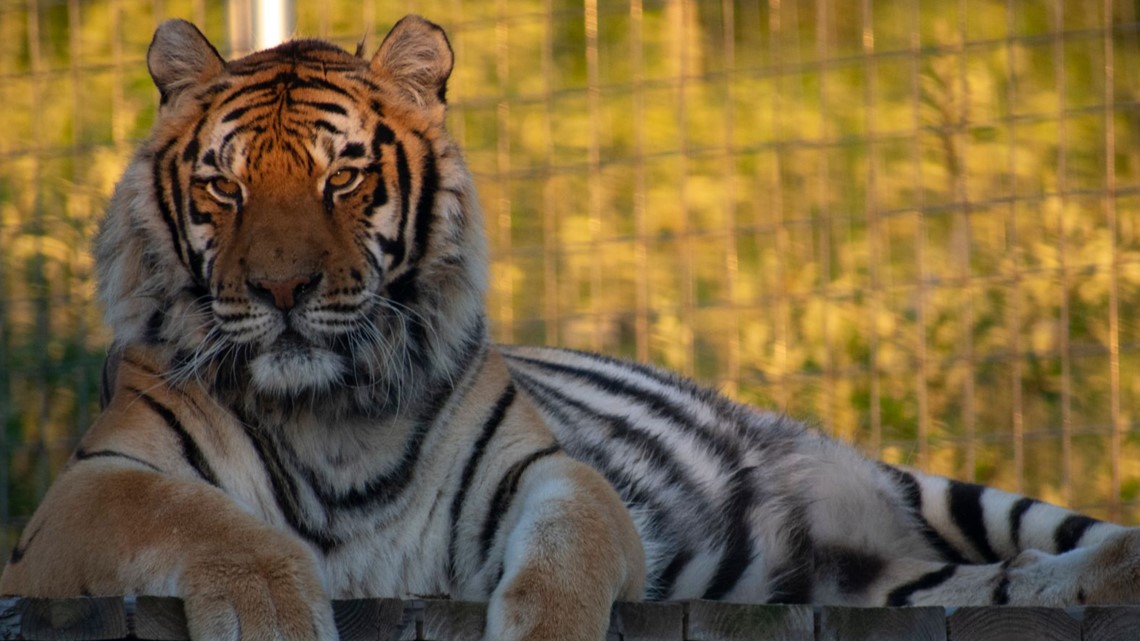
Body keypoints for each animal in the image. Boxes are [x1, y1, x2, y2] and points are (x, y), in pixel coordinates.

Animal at [3, 14, 1140, 641]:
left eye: (343, 176)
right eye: (224, 187)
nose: (282, 289)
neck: (333, 412)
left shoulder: (541, 472)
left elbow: (567, 548)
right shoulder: (79, 497)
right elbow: (205, 524)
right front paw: (274, 615)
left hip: (912, 487)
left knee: (1038, 535)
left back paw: (1108, 568)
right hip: (853, 575)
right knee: (974, 579)